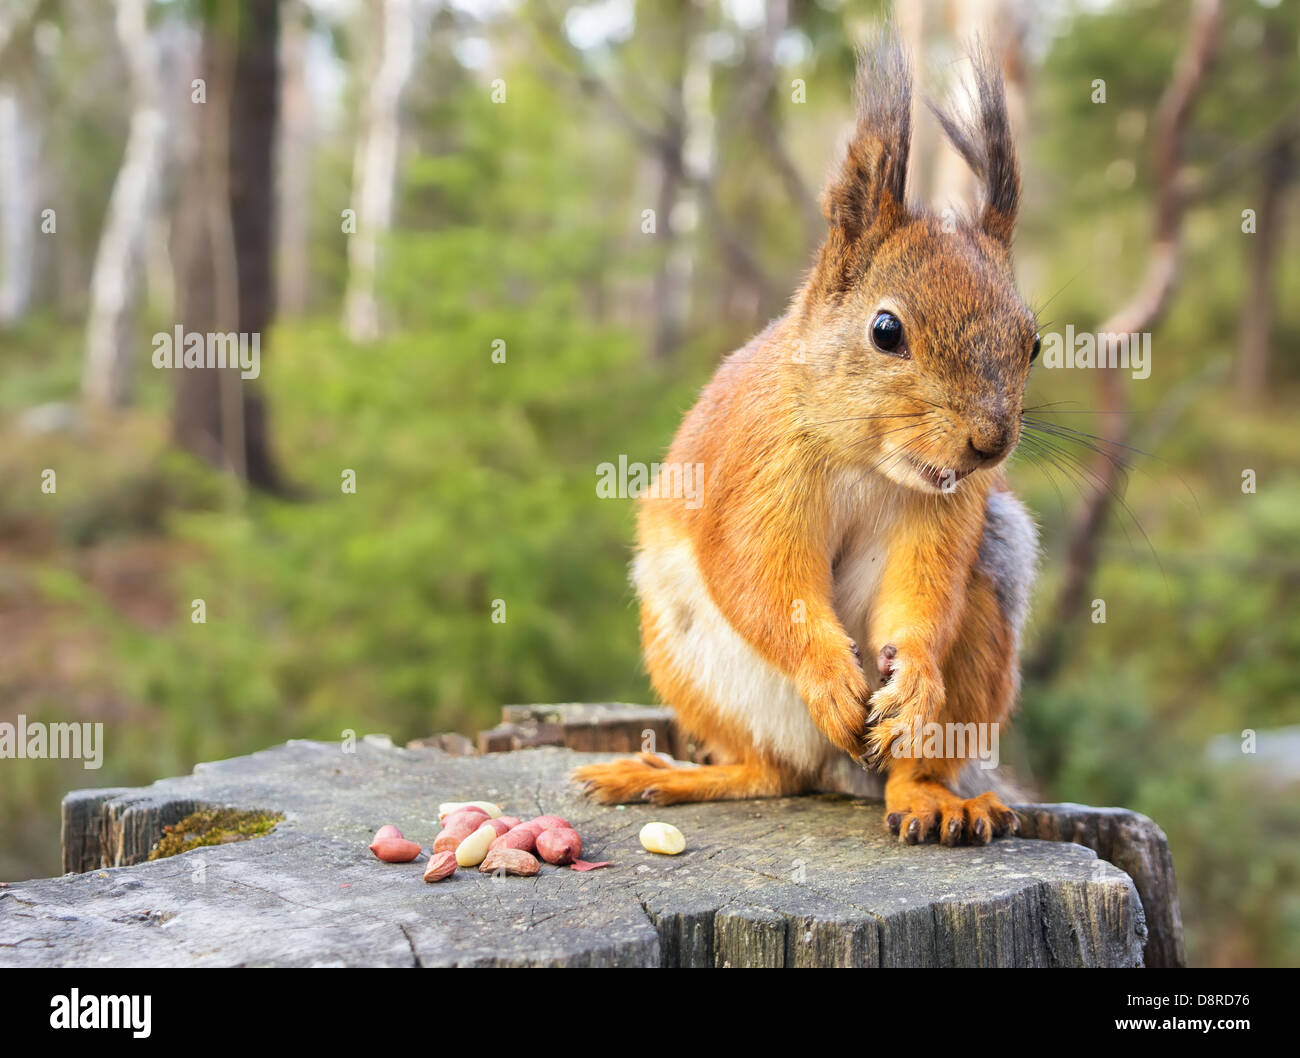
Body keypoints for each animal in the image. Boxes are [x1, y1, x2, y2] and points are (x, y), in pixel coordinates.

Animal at [573, 29, 1040, 846]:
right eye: (886, 330)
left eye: (1035, 343)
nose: (989, 444)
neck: (869, 461)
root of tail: (842, 767)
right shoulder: (752, 471)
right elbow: (759, 575)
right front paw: (826, 672)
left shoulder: (948, 511)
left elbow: (923, 590)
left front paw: (914, 674)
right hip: (694, 662)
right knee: (772, 773)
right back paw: (679, 775)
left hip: (985, 622)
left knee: (904, 766)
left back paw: (936, 797)